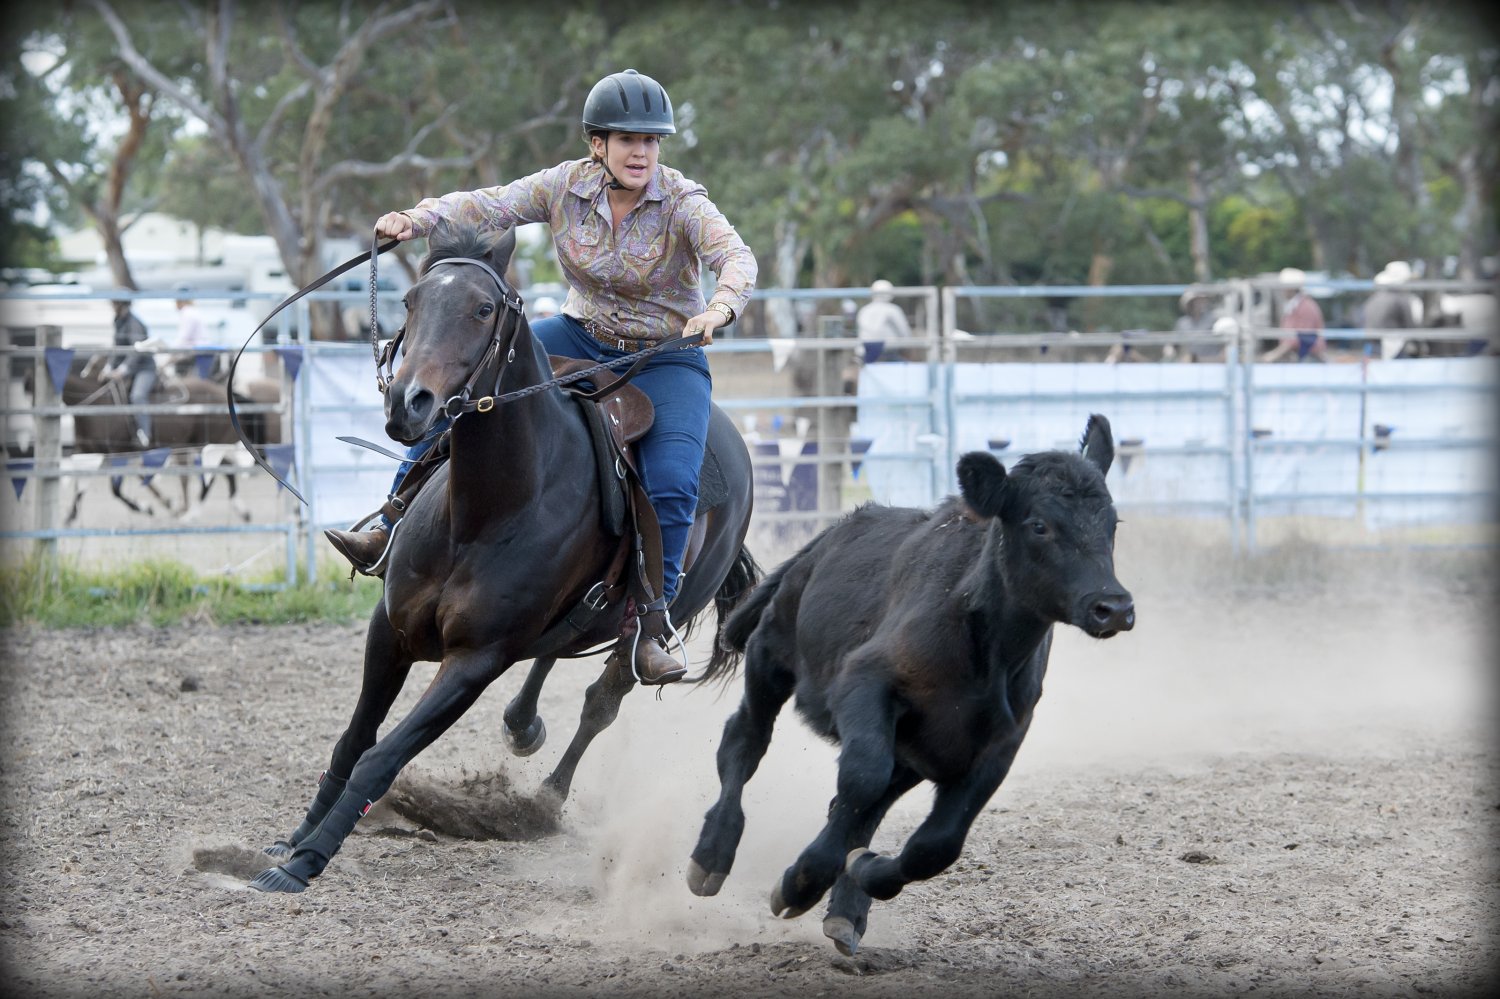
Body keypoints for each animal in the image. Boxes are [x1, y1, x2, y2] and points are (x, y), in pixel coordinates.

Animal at [250, 223, 758, 894]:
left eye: (483, 309)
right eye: (410, 300)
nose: (408, 403)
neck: (486, 512)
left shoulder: (475, 660)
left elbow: (382, 756)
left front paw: (305, 862)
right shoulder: (390, 630)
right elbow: (355, 739)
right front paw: (297, 838)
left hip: (649, 621)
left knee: (603, 699)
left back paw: (546, 797)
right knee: (555, 649)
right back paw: (522, 725)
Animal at [687, 415, 1134, 956]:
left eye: (1112, 524)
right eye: (1040, 525)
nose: (1113, 606)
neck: (985, 651)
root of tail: (833, 533)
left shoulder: (995, 749)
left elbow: (933, 845)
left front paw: (860, 871)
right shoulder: (865, 683)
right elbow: (862, 777)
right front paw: (799, 882)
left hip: (911, 752)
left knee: (865, 810)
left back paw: (846, 909)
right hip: (769, 656)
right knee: (746, 741)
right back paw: (712, 856)